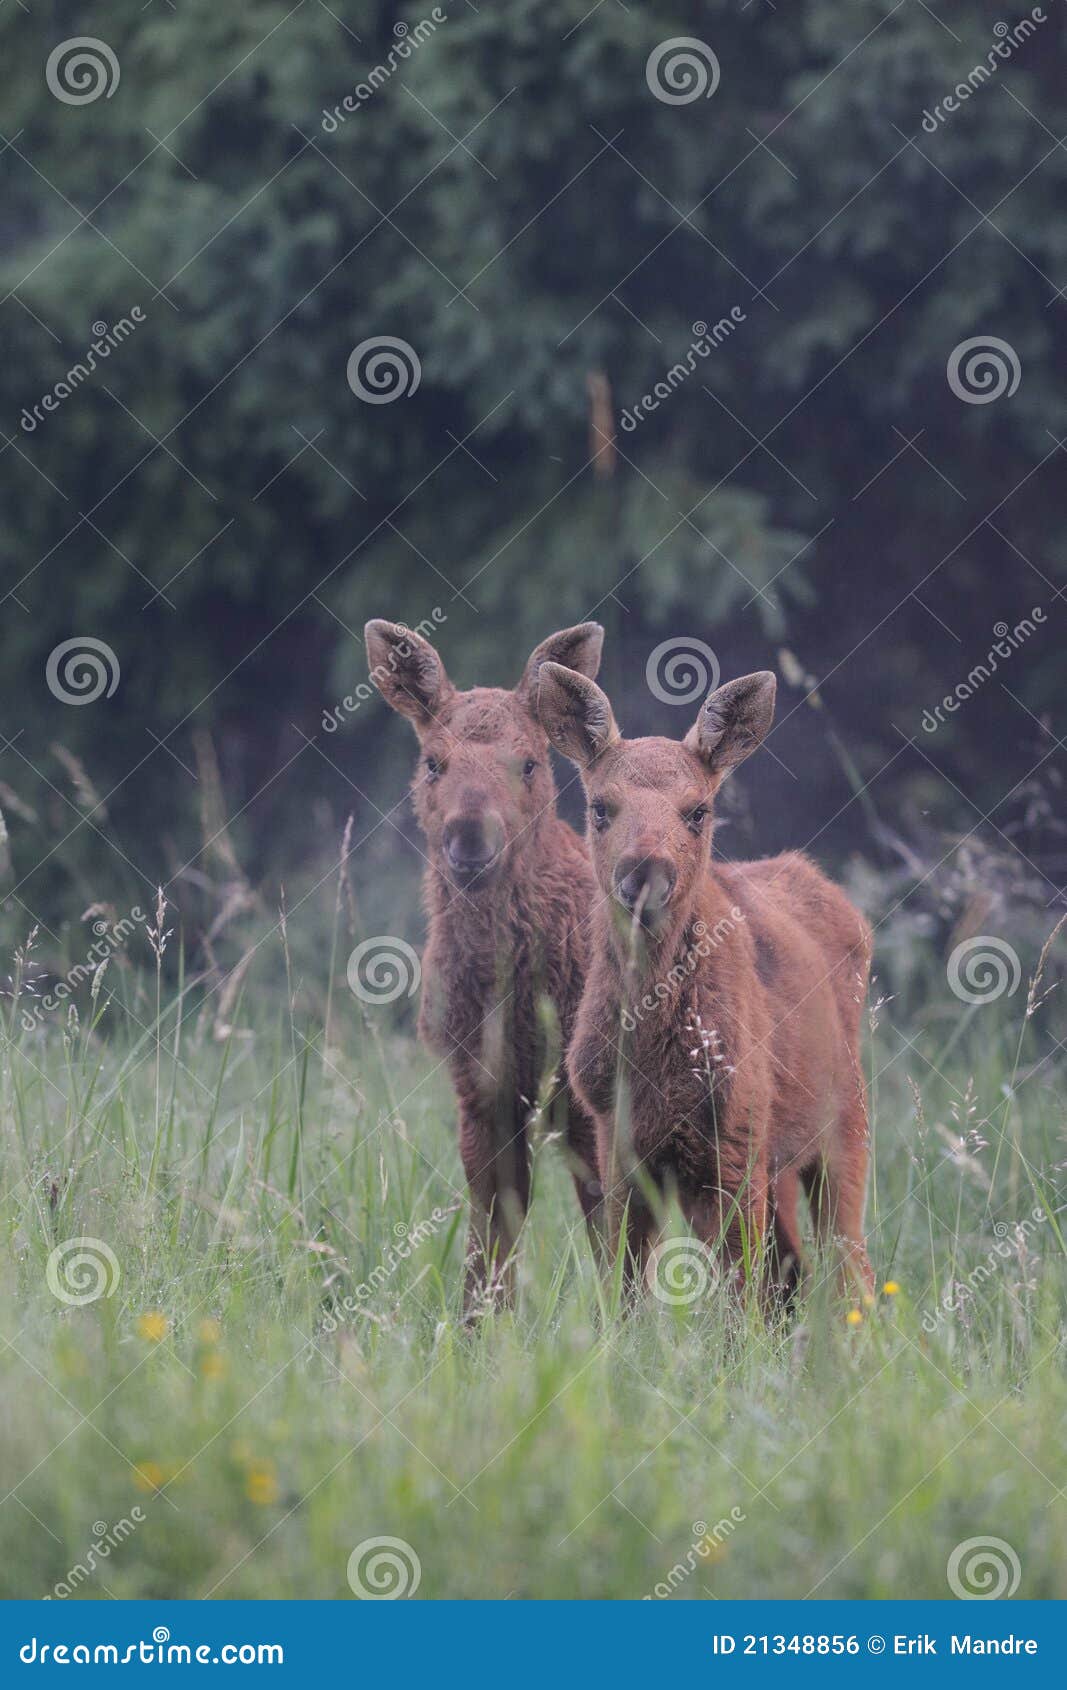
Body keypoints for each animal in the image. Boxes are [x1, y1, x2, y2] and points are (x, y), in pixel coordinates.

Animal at [364, 619, 607, 1315]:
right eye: (432, 761)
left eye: (529, 761)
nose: (470, 837)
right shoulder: (480, 1089)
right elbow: (493, 1225)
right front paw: (479, 1322)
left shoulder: (585, 1094)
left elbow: (608, 1221)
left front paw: (632, 1320)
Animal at [535, 660, 874, 1308]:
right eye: (599, 807)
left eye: (698, 810)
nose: (645, 873)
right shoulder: (616, 1145)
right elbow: (622, 1292)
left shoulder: (737, 1142)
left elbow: (740, 1299)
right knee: (796, 1274)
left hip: (845, 1117)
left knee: (852, 1273)